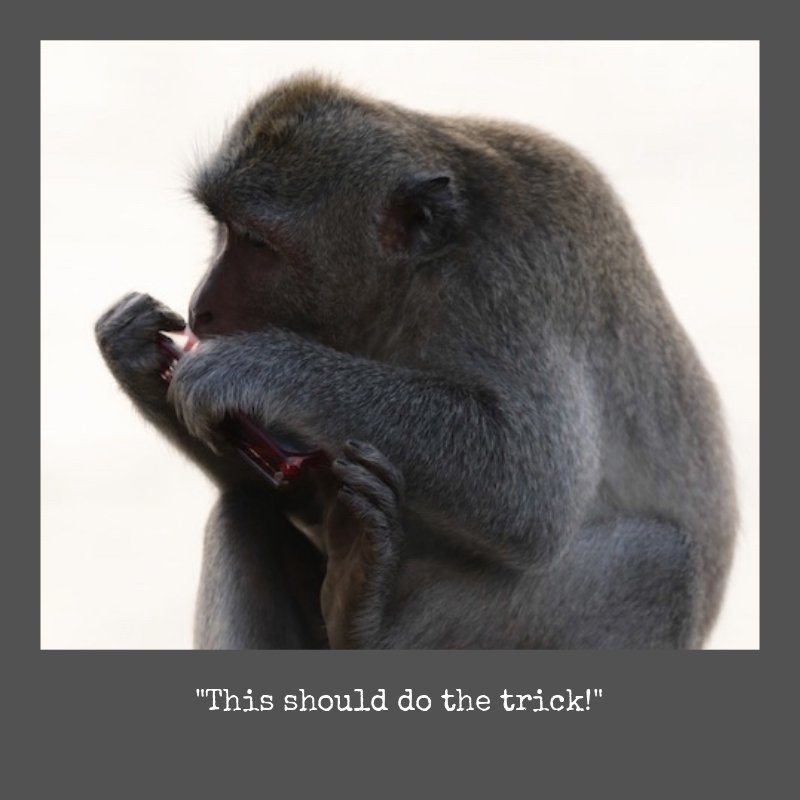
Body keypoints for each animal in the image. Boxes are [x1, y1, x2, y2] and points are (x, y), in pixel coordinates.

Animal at [95, 73, 737, 649]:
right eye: (222, 228)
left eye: (256, 243)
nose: (199, 308)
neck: (416, 280)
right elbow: (287, 490)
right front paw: (135, 352)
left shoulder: (505, 287)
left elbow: (532, 485)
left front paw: (250, 368)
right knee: (245, 511)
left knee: (659, 566)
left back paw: (362, 620)